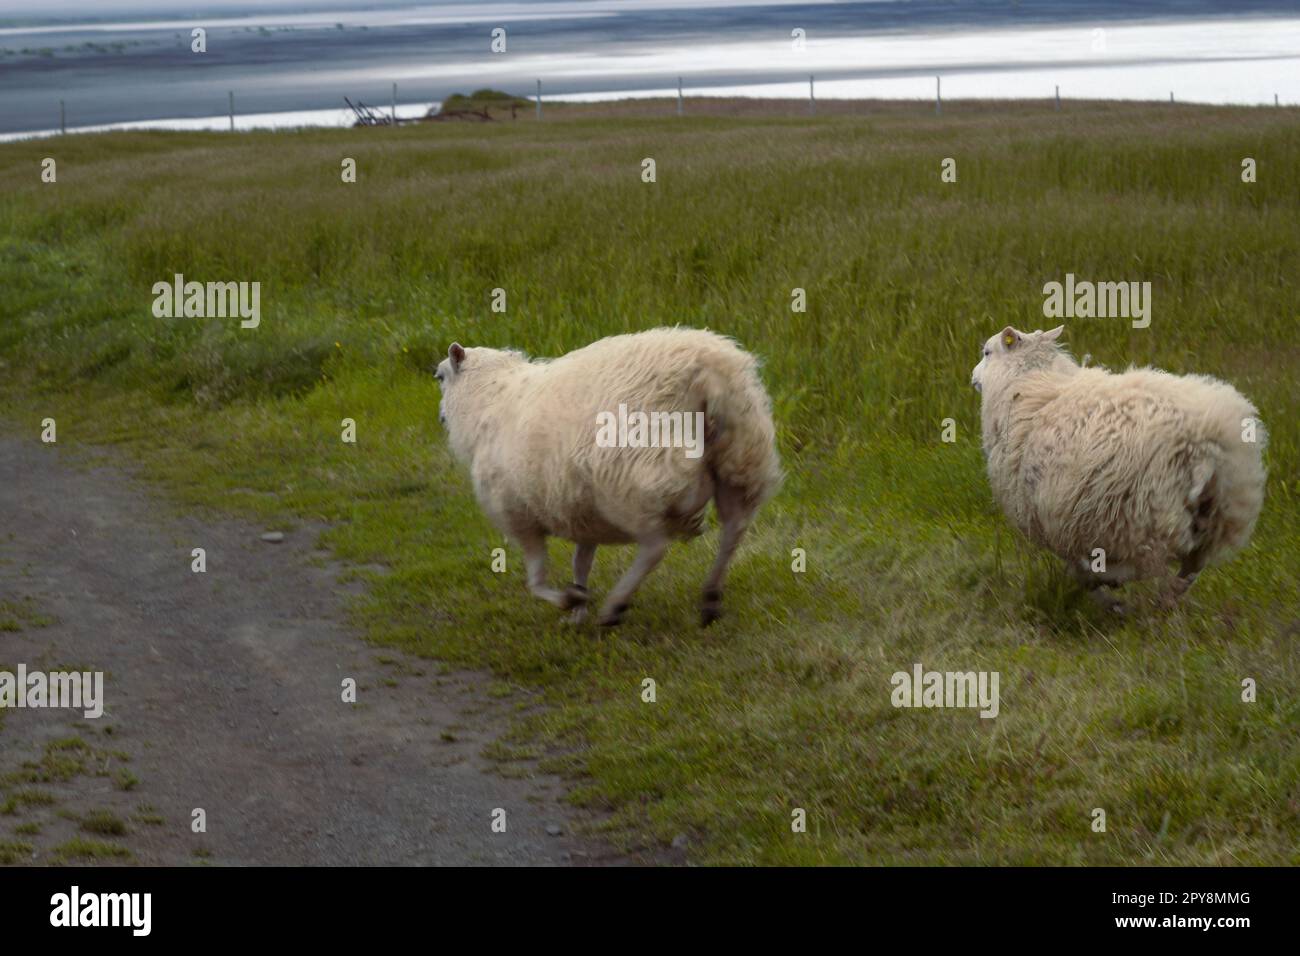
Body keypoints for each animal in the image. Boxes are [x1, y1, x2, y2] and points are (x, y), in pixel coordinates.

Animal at [435, 328, 782, 627]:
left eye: (439, 377)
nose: (439, 417)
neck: (487, 402)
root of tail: (709, 373)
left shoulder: (517, 515)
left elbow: (536, 578)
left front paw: (570, 600)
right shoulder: (580, 510)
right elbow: (581, 562)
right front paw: (578, 610)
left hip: (630, 483)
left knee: (654, 547)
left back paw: (615, 607)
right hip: (742, 459)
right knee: (734, 530)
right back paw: (710, 598)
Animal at [970, 325, 1266, 610]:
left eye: (987, 352)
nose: (973, 377)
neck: (1026, 383)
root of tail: (1205, 444)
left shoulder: (1055, 516)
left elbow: (1078, 567)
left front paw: (1103, 592)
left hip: (1143, 514)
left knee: (1150, 566)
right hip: (1222, 514)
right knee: (1190, 569)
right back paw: (1164, 602)